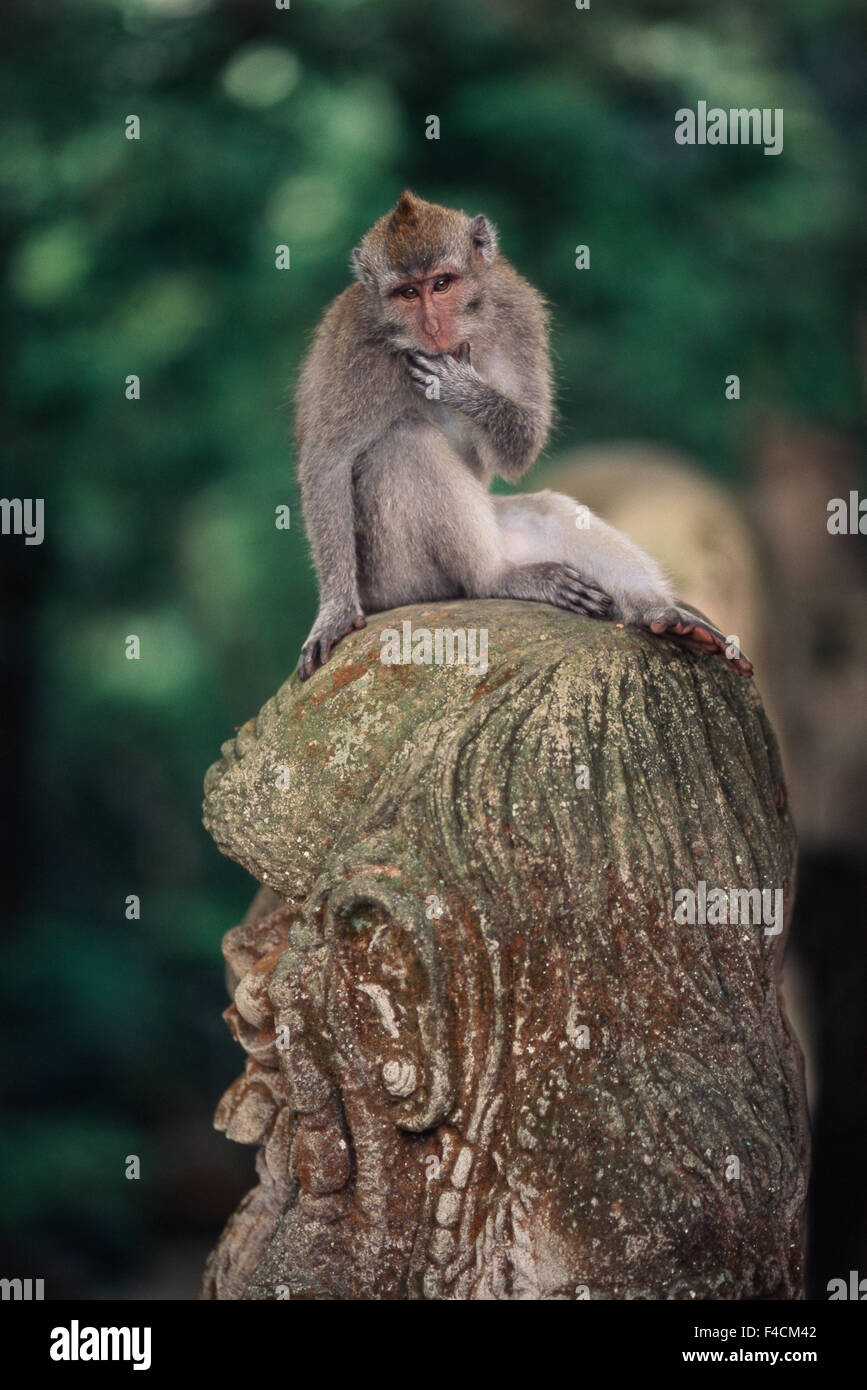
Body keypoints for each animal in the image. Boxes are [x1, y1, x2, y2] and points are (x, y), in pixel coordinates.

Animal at [294, 190, 753, 681]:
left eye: (442, 284)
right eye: (408, 293)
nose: (432, 328)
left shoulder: (518, 311)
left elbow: (522, 445)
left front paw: (463, 388)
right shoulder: (352, 348)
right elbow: (327, 466)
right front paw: (336, 612)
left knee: (548, 511)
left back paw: (662, 614)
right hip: (398, 579)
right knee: (405, 443)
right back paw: (495, 578)